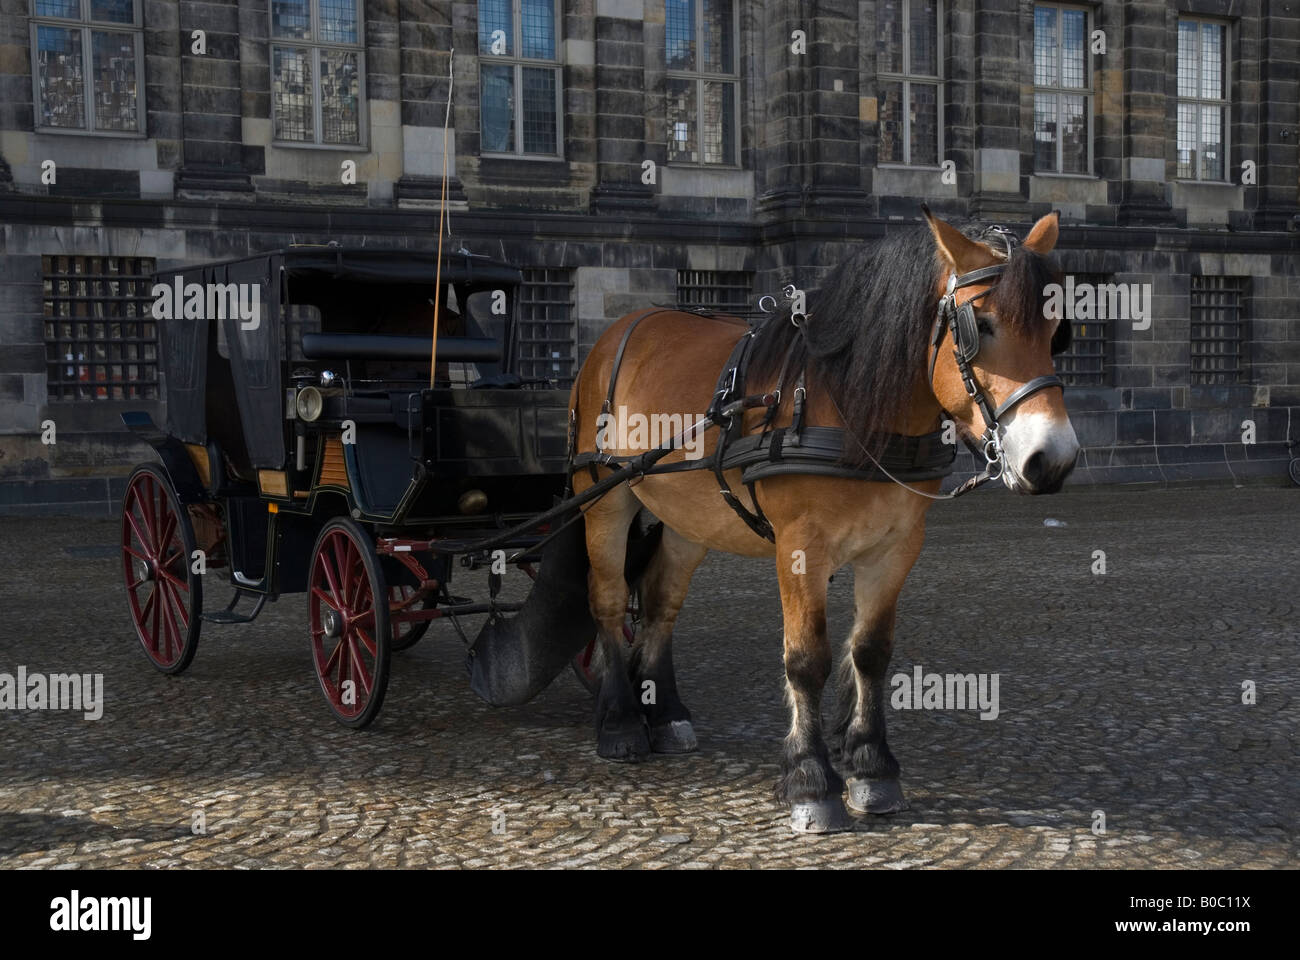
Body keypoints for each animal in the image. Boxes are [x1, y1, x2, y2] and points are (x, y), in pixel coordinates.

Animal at [566, 207, 1079, 833]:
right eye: (979, 324)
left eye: (1056, 330)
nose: (1052, 459)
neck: (850, 406)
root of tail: (622, 328)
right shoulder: (800, 547)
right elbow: (807, 659)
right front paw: (811, 780)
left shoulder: (896, 546)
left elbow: (871, 652)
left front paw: (872, 768)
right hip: (602, 498)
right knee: (610, 601)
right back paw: (619, 722)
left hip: (687, 520)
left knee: (662, 604)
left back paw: (664, 714)